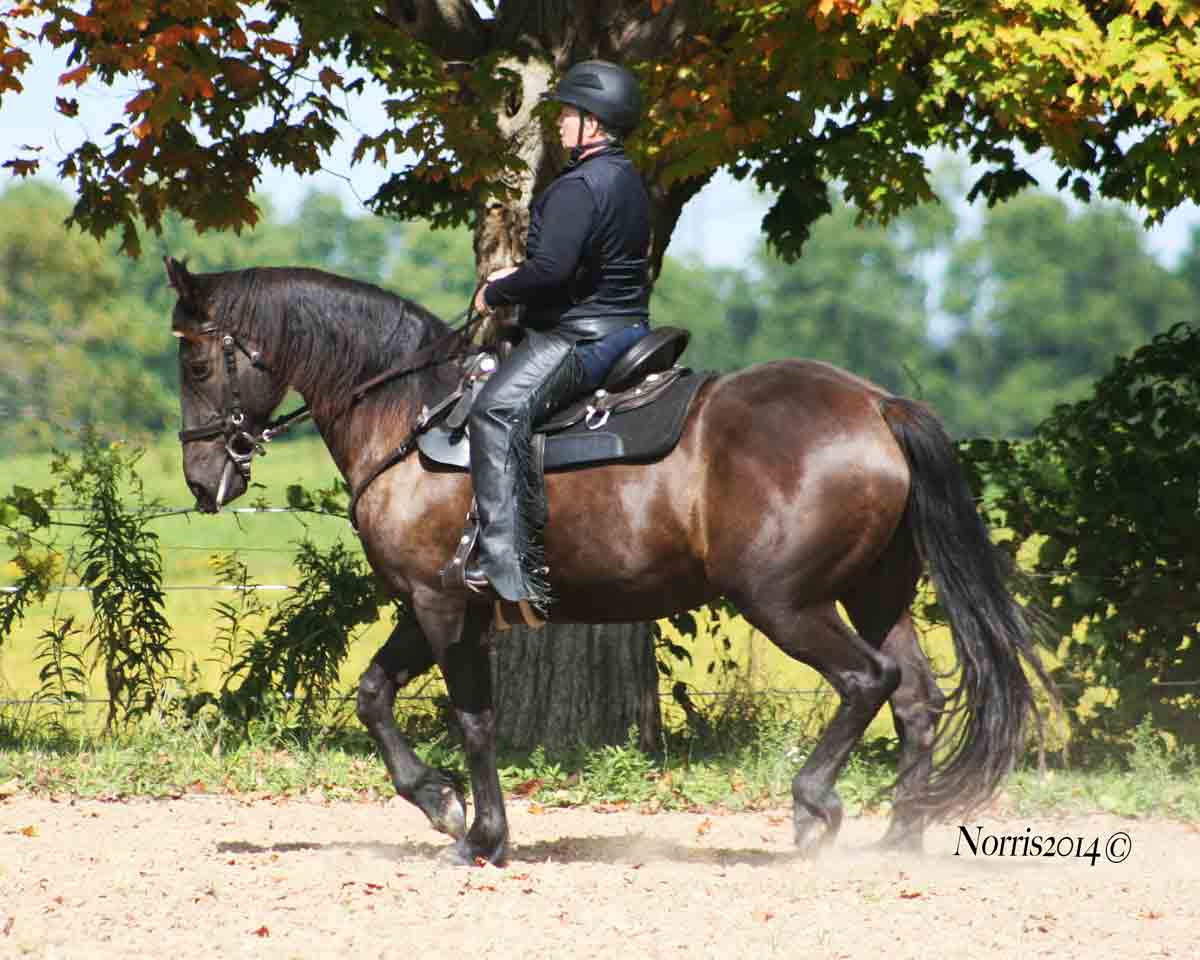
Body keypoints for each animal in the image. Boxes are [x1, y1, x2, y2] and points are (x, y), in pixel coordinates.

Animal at [164, 257, 1050, 865]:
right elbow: (375, 695)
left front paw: (479, 835)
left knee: (870, 681)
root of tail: (875, 405)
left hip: (786, 604)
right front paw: (439, 802)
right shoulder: (434, 604)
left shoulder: (442, 605)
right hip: (875, 595)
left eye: (198, 363)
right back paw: (901, 834)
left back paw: (813, 807)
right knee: (917, 700)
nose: (204, 480)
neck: (410, 419)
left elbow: (474, 718)